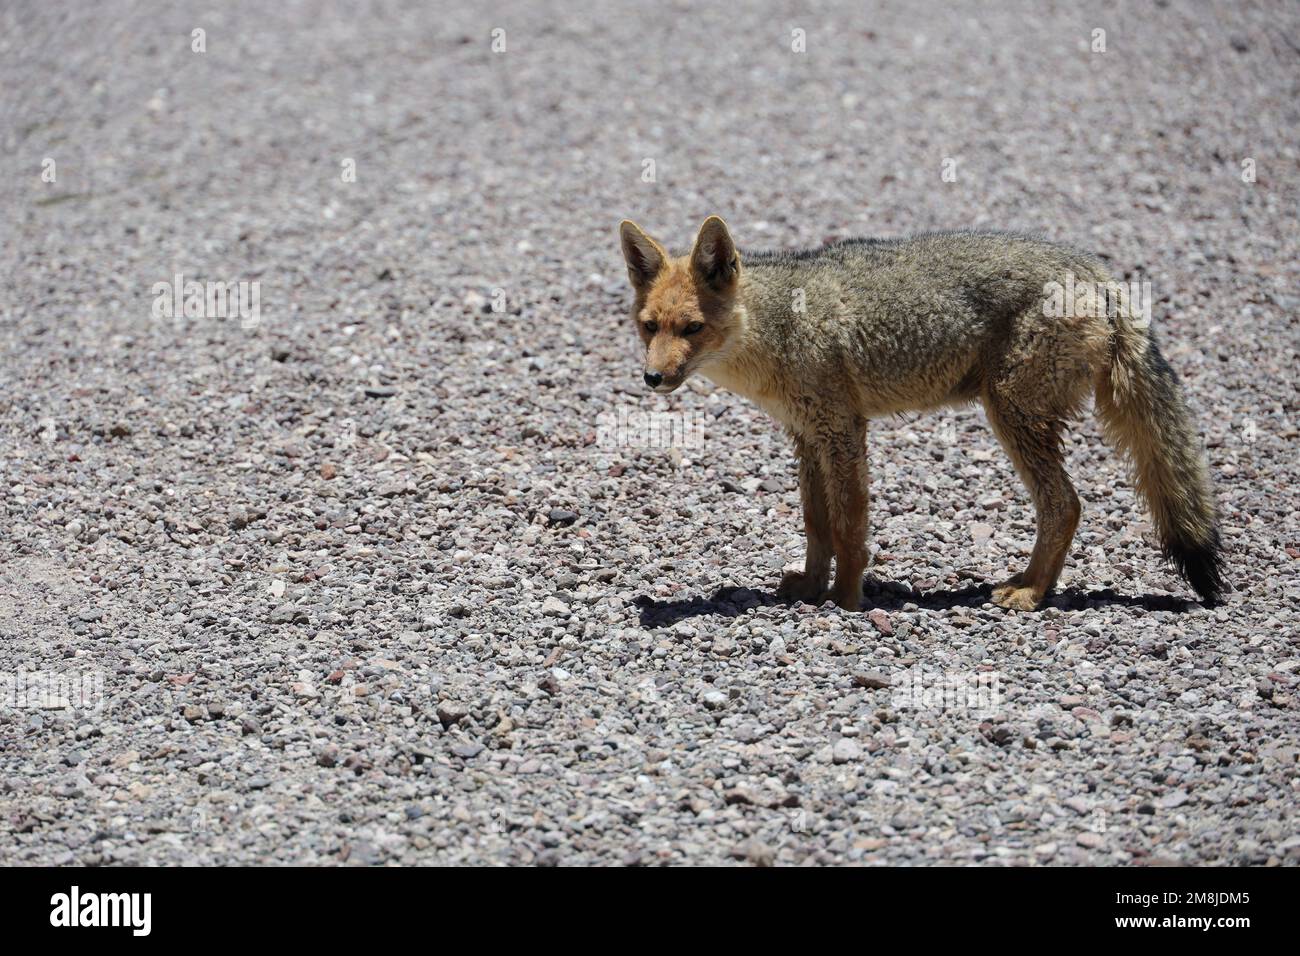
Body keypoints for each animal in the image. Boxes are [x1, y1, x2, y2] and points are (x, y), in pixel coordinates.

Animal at [618, 216, 1224, 612]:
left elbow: (849, 526)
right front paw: (811, 589)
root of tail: (1099, 271)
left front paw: (846, 599)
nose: (652, 379)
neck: (778, 326)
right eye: (650, 327)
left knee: (1065, 504)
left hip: (1010, 416)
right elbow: (817, 524)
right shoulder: (806, 435)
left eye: (692, 329)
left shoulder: (843, 430)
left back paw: (1029, 592)